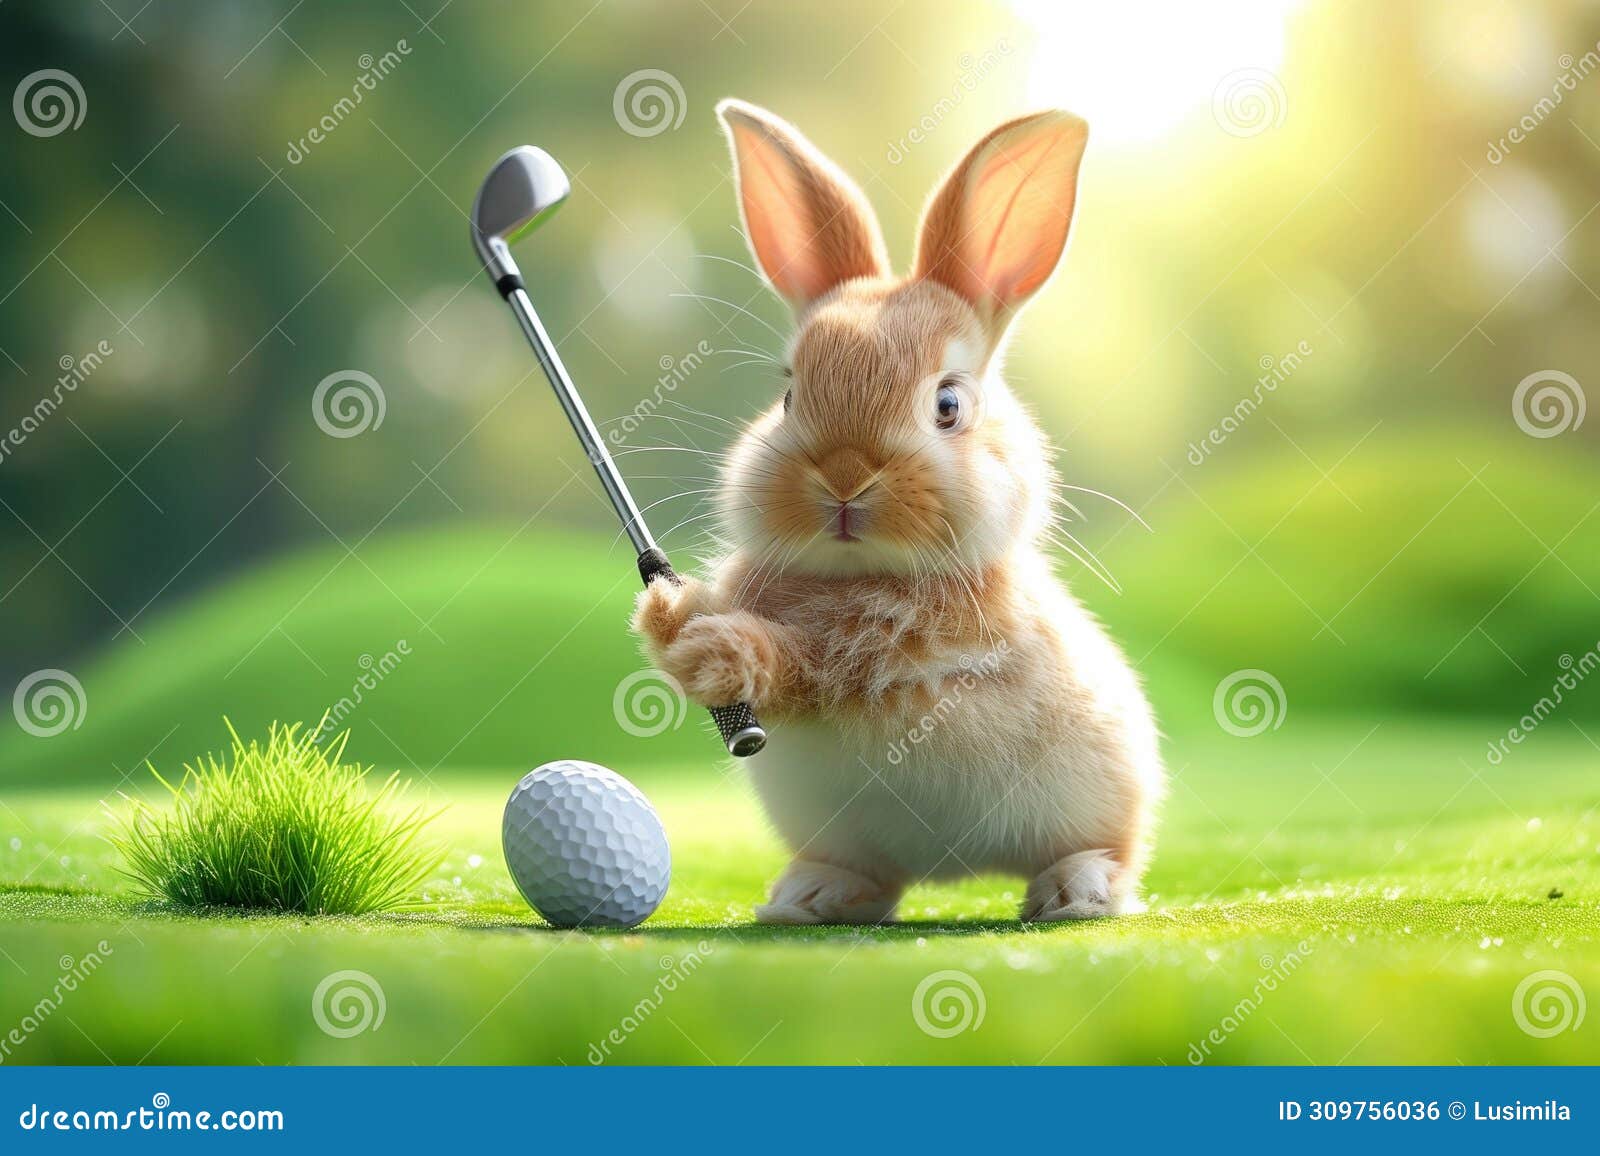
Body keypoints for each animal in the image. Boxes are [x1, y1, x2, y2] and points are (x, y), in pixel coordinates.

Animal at [632, 98, 1163, 924]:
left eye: (948, 405)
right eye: (789, 397)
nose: (845, 479)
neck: (858, 572)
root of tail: (958, 871)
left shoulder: (892, 651)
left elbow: (805, 665)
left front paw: (718, 649)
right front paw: (671, 615)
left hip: (1106, 794)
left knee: (1109, 851)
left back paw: (1076, 891)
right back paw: (813, 895)